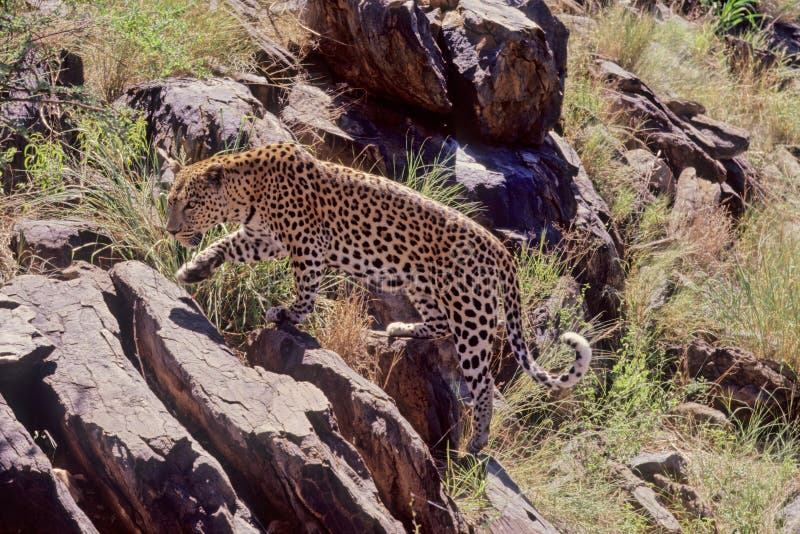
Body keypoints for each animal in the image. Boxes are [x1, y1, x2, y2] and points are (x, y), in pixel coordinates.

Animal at [165, 142, 592, 454]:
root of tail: (500, 250)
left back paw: (477, 442)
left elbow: (305, 287)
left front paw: (289, 314)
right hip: (421, 285)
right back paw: (401, 328)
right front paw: (195, 269)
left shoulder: (307, 243)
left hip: (472, 315)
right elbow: (226, 244)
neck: (247, 191)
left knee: (483, 382)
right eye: (171, 201)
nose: (170, 230)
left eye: (189, 204)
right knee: (438, 324)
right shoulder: (264, 238)